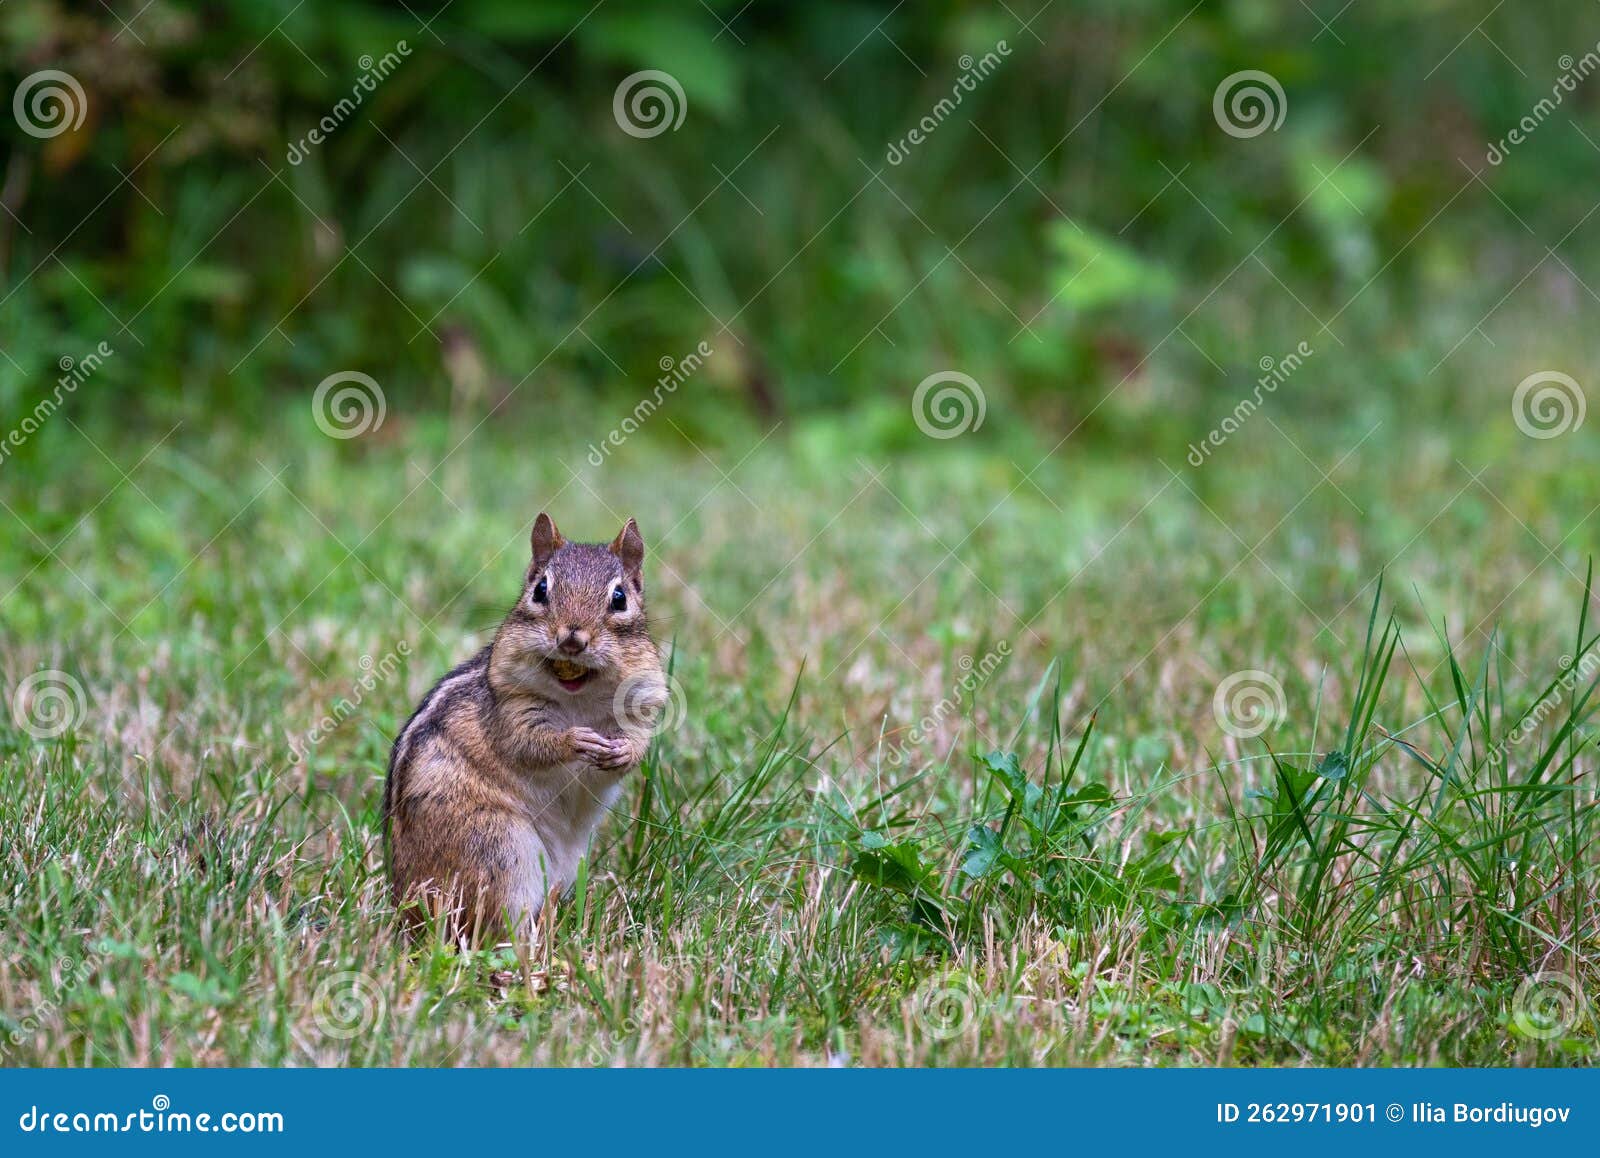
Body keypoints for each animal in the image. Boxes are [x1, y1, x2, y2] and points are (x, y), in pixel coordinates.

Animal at [383, 512, 666, 944]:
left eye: (619, 598)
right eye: (540, 590)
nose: (572, 638)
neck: (580, 695)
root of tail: (406, 904)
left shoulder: (641, 704)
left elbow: (638, 744)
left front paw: (620, 753)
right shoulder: (512, 707)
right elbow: (529, 744)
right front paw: (574, 740)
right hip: (497, 848)